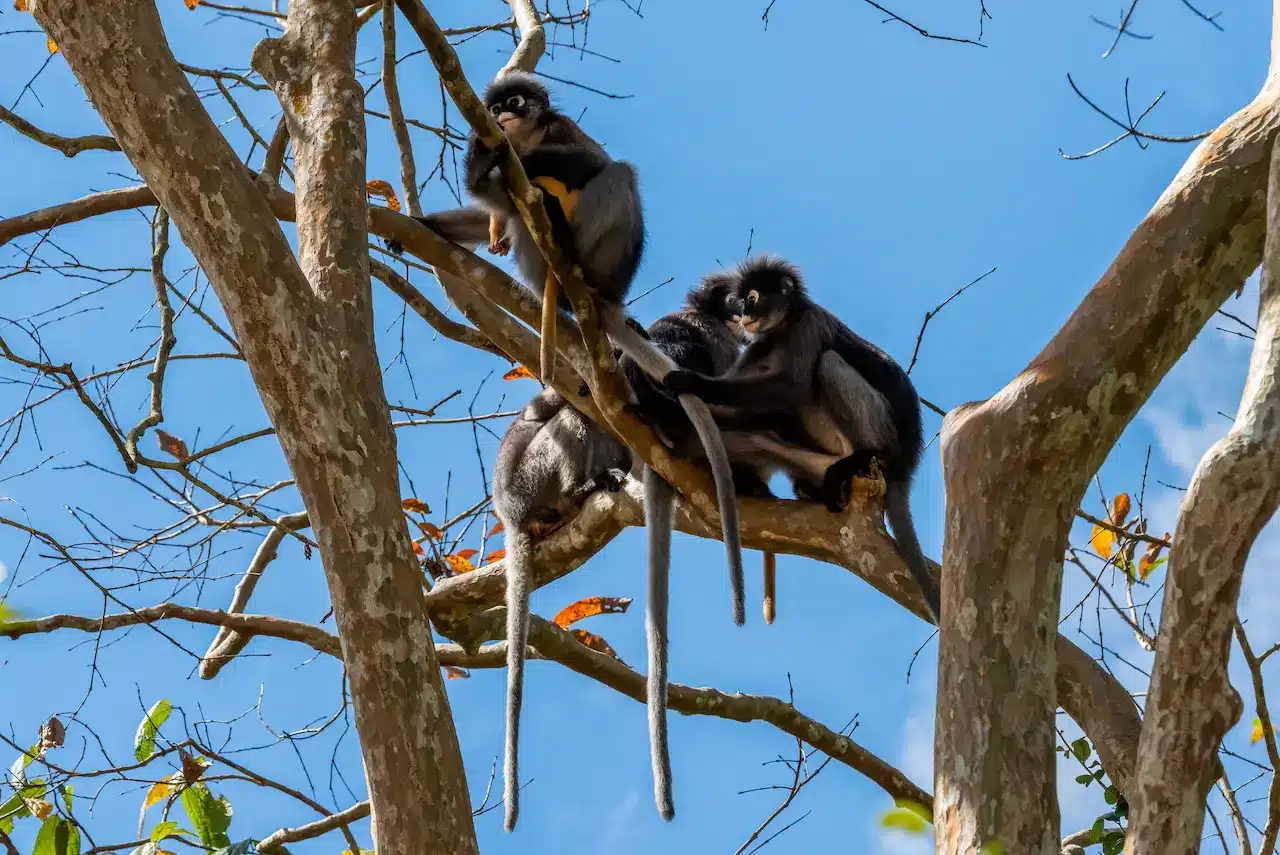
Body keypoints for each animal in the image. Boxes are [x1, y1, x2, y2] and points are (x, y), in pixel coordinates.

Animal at [662, 255, 941, 623]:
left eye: (753, 298)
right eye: (740, 300)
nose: (744, 312)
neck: (784, 328)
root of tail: (906, 463)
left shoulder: (808, 326)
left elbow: (793, 389)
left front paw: (695, 383)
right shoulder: (761, 343)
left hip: (877, 431)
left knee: (828, 363)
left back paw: (863, 458)